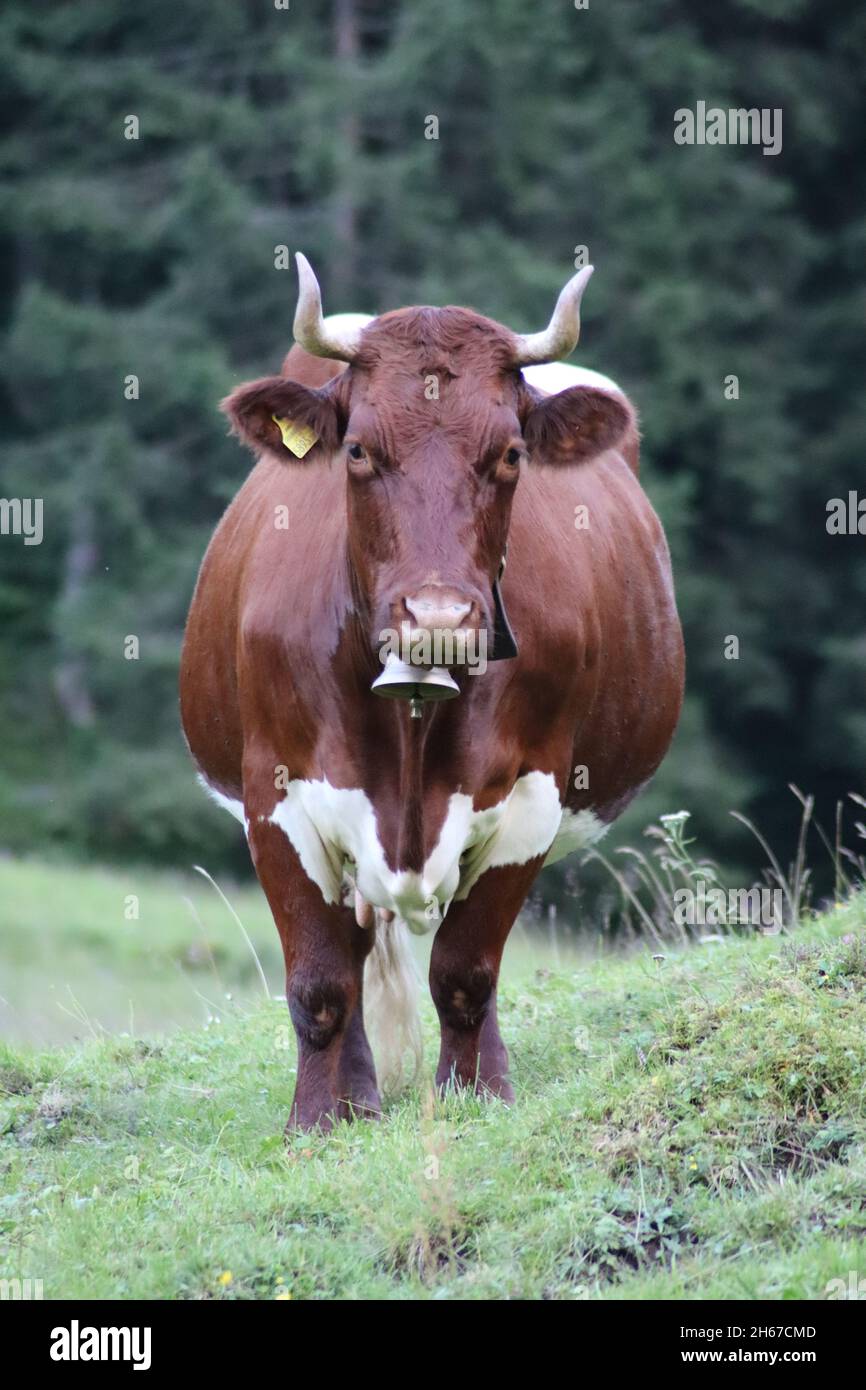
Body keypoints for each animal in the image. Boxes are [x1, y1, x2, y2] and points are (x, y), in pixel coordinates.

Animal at [179, 255, 684, 1131]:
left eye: (511, 453)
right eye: (356, 450)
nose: (439, 617)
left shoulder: (533, 793)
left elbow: (465, 970)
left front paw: (478, 1094)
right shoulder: (275, 795)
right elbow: (319, 981)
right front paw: (318, 1119)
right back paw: (360, 1095)